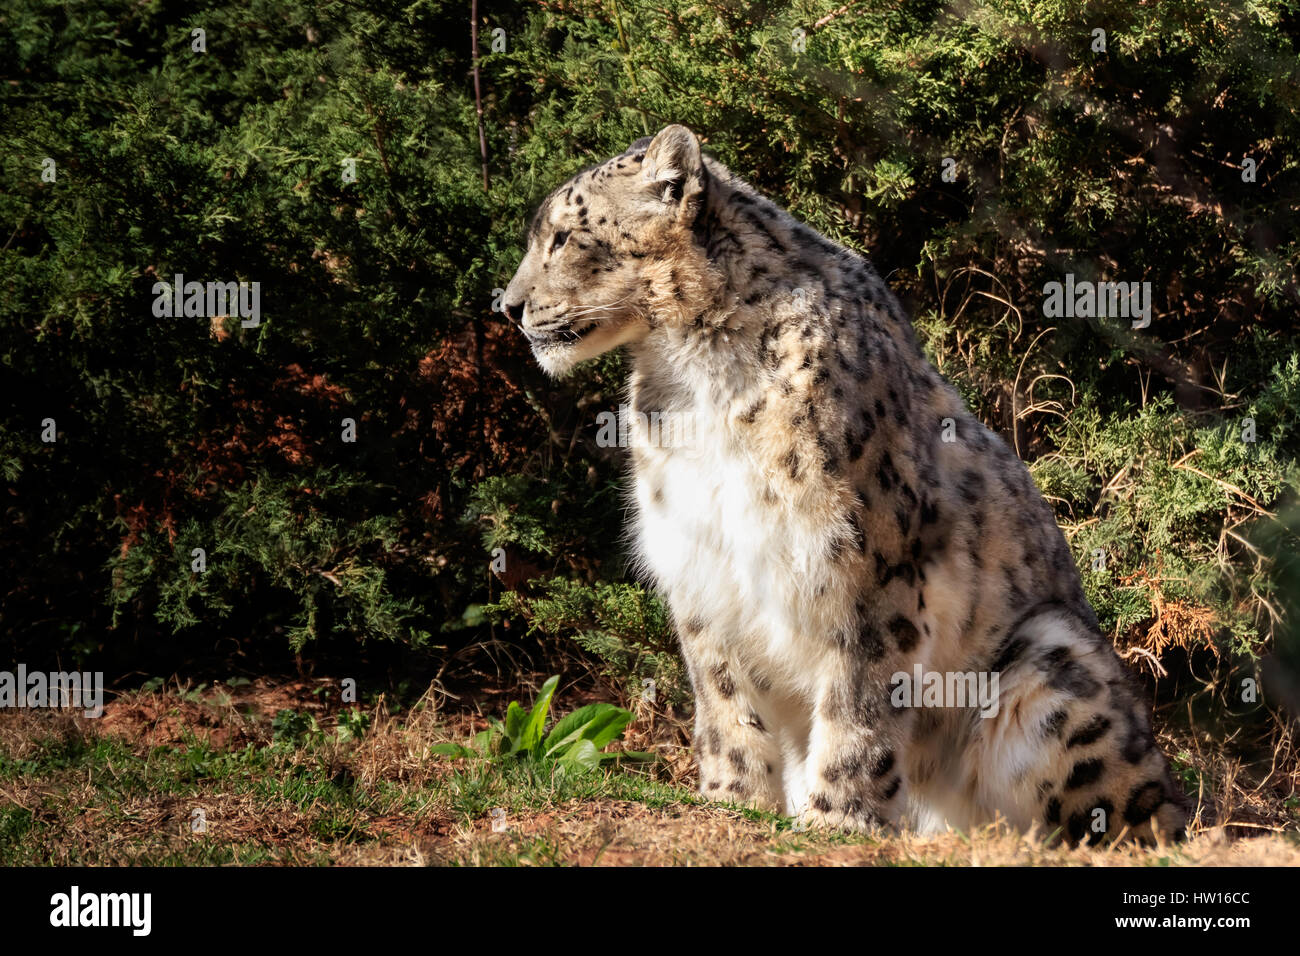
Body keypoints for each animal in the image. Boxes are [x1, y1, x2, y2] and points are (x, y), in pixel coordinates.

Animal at [502, 123, 1190, 845]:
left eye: (563, 237)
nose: (508, 306)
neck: (695, 379)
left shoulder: (866, 566)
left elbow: (859, 697)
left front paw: (837, 815)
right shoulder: (700, 566)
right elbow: (723, 698)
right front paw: (731, 800)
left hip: (1049, 658)